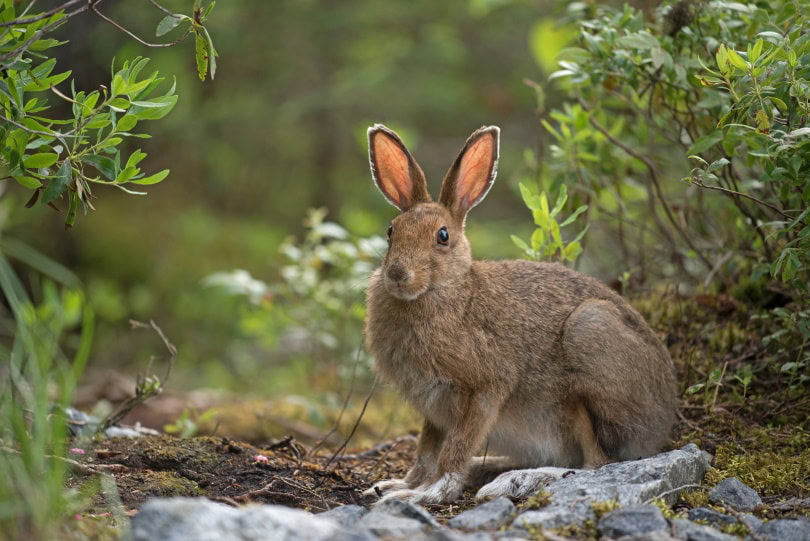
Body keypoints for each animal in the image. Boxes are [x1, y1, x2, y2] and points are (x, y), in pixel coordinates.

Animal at [361, 124, 677, 505]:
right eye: (391, 230)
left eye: (443, 236)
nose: (397, 274)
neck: (447, 290)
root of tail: (663, 421)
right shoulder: (434, 410)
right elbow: (426, 450)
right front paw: (399, 485)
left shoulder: (487, 387)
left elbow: (456, 447)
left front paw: (428, 493)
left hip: (588, 342)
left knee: (596, 463)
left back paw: (518, 479)